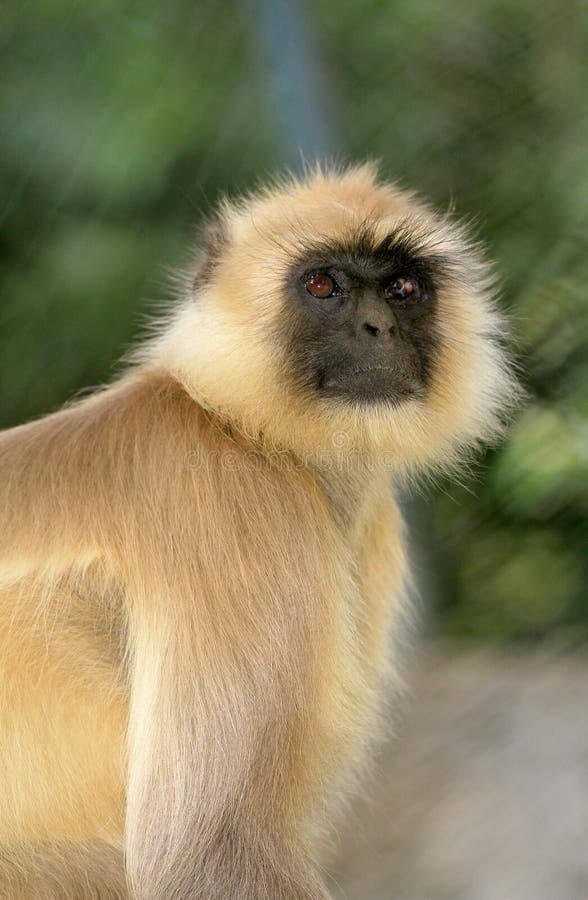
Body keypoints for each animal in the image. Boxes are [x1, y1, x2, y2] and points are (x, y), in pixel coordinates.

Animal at [0, 163, 518, 899]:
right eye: (323, 286)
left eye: (402, 289)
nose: (377, 328)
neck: (236, 427)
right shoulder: (235, 500)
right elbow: (208, 851)